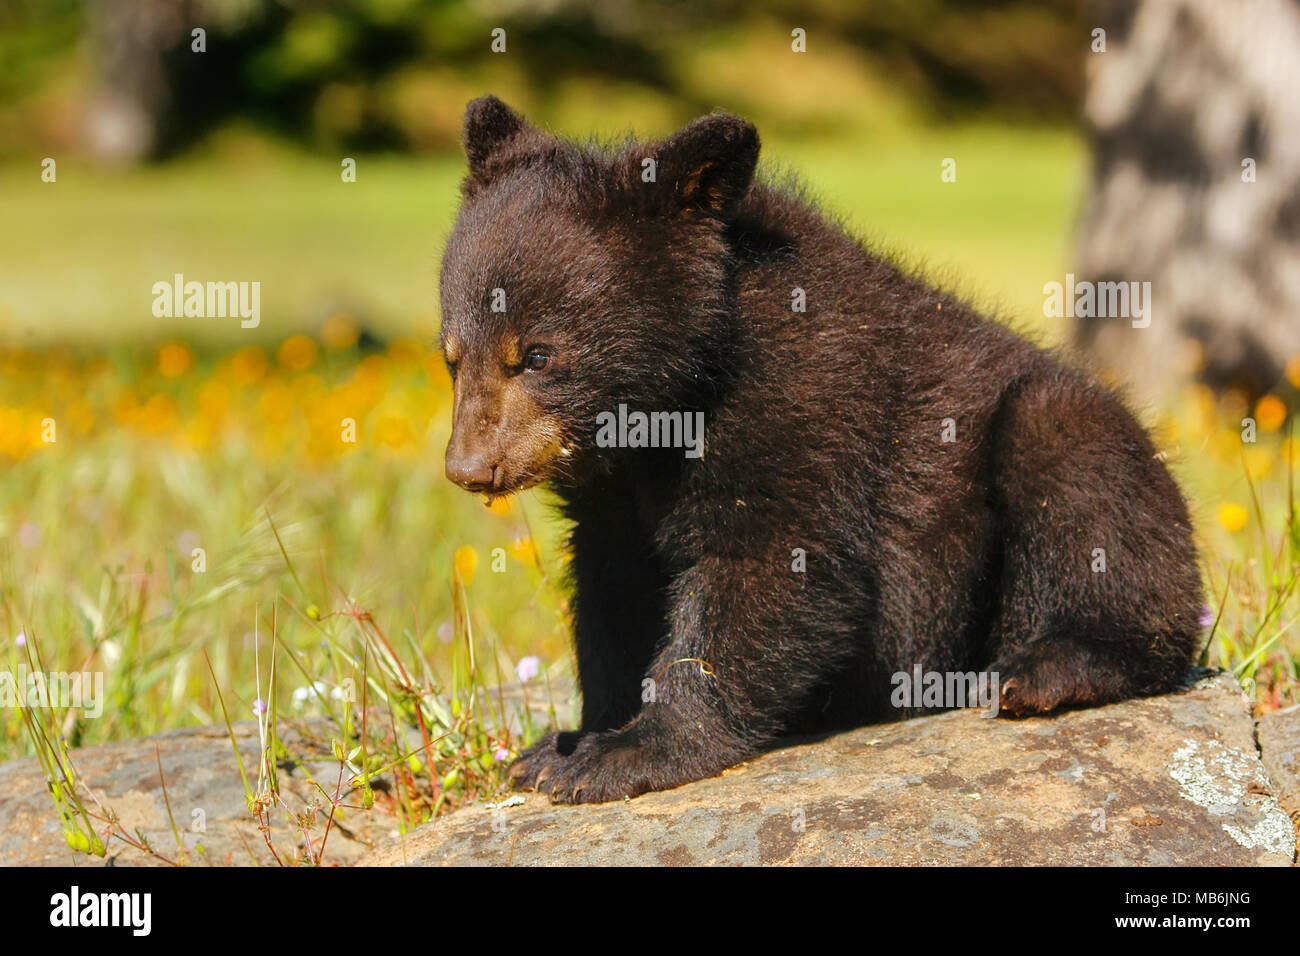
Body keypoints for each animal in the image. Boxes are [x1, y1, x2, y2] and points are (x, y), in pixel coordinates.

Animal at [436, 95, 1205, 804]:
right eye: (452, 357)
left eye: (537, 355)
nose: (469, 468)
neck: (666, 406)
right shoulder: (611, 494)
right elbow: (613, 592)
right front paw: (565, 740)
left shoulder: (801, 398)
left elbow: (774, 567)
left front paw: (629, 750)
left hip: (1058, 436)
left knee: (1085, 480)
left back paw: (1048, 666)